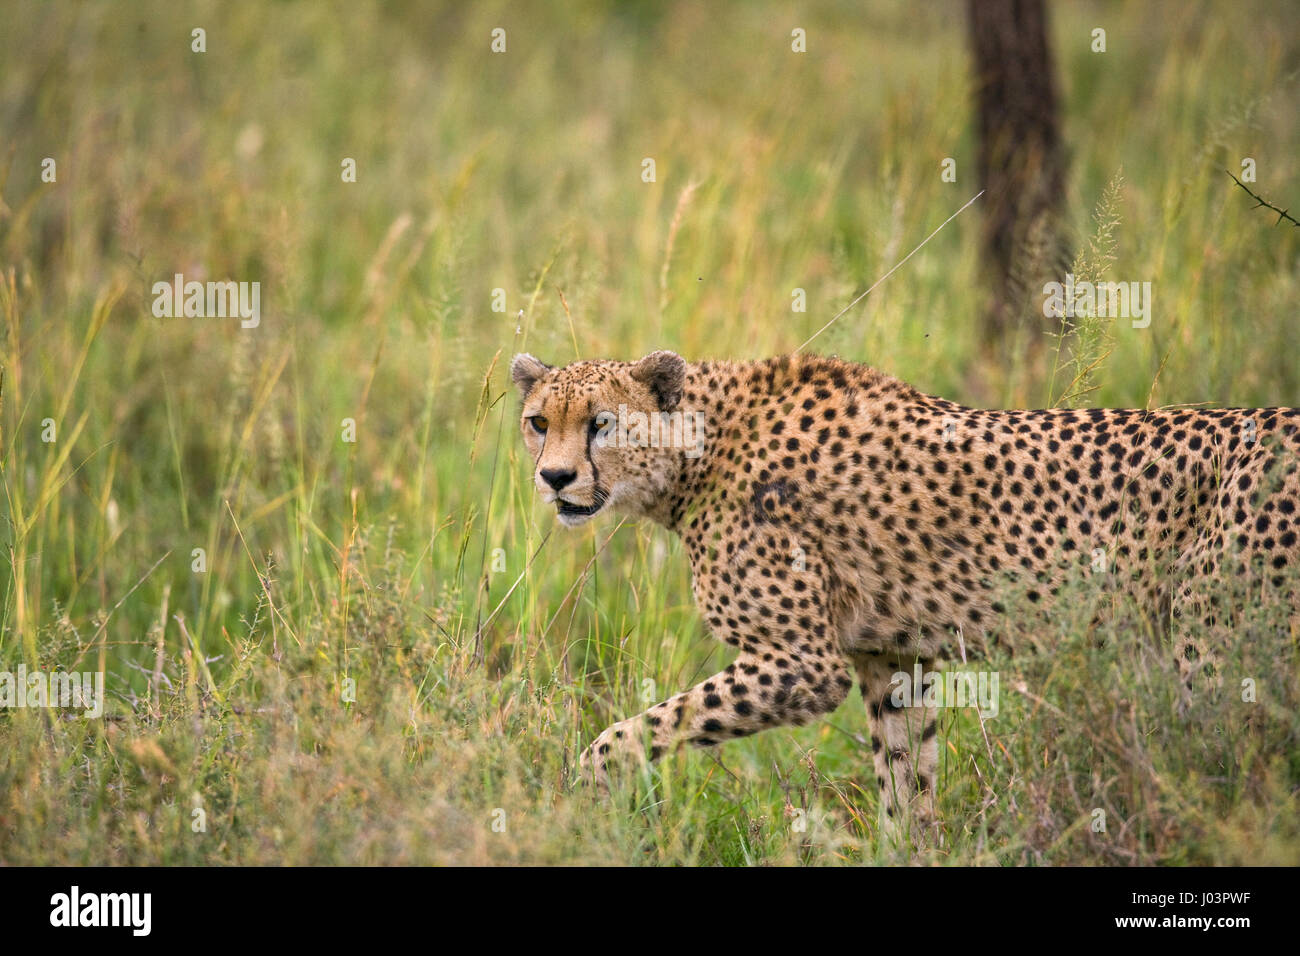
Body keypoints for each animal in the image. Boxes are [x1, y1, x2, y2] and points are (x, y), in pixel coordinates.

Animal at [510, 349, 1300, 828]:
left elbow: (630, 732)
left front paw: (579, 795)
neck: (696, 457)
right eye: (538, 422)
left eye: (602, 424)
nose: (553, 478)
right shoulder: (891, 658)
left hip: (1214, 647)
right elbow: (904, 783)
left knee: (1240, 772)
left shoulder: (804, 665)